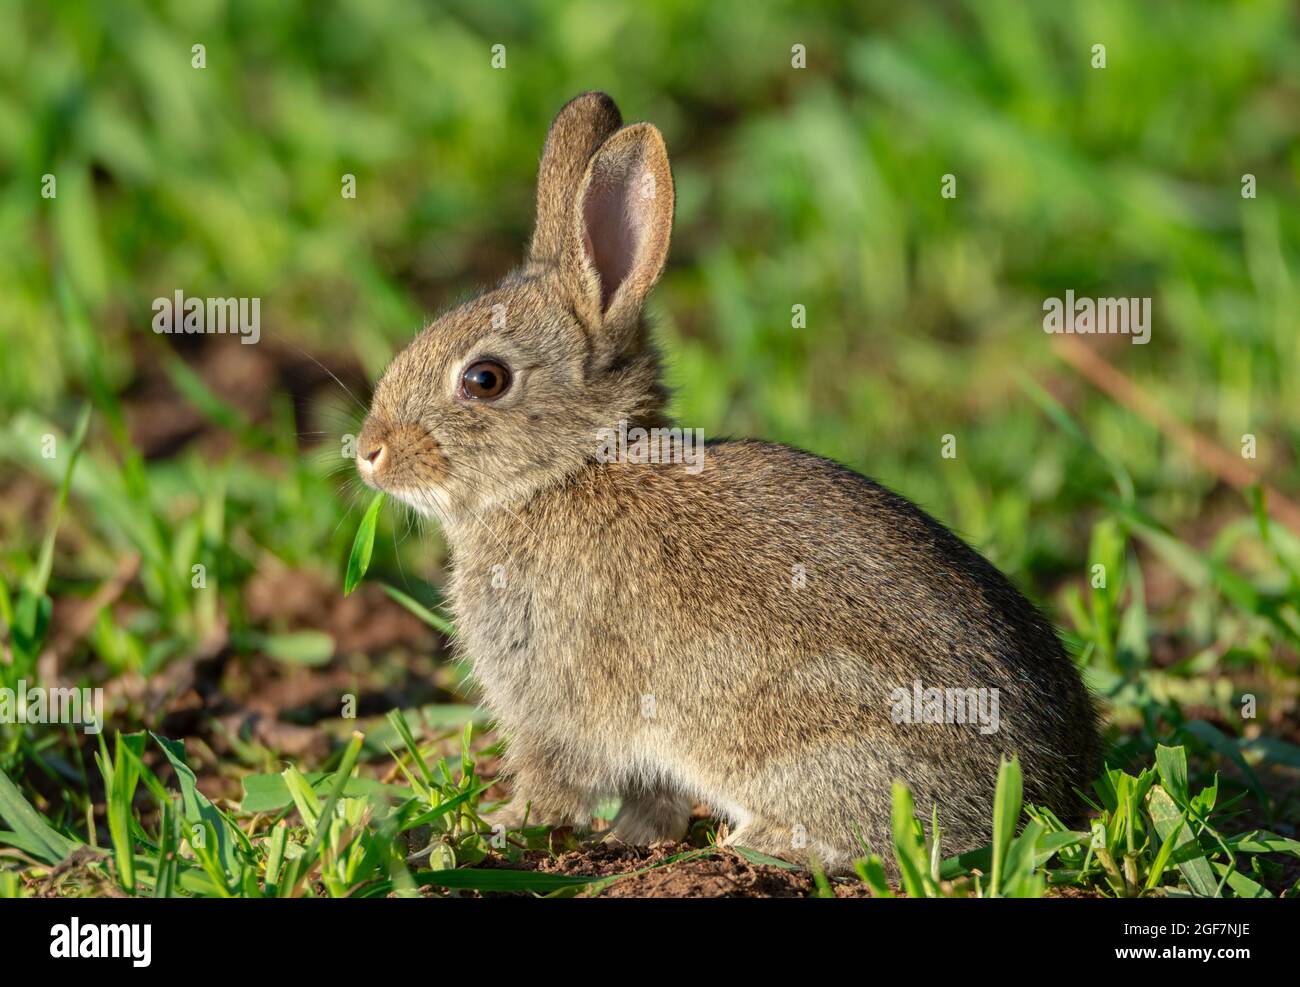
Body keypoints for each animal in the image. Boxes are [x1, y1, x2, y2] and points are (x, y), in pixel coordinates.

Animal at [355, 91, 1101, 872]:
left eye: (484, 379)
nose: (369, 452)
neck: (566, 473)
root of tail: (1053, 791)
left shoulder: (555, 704)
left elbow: (554, 784)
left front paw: (491, 828)